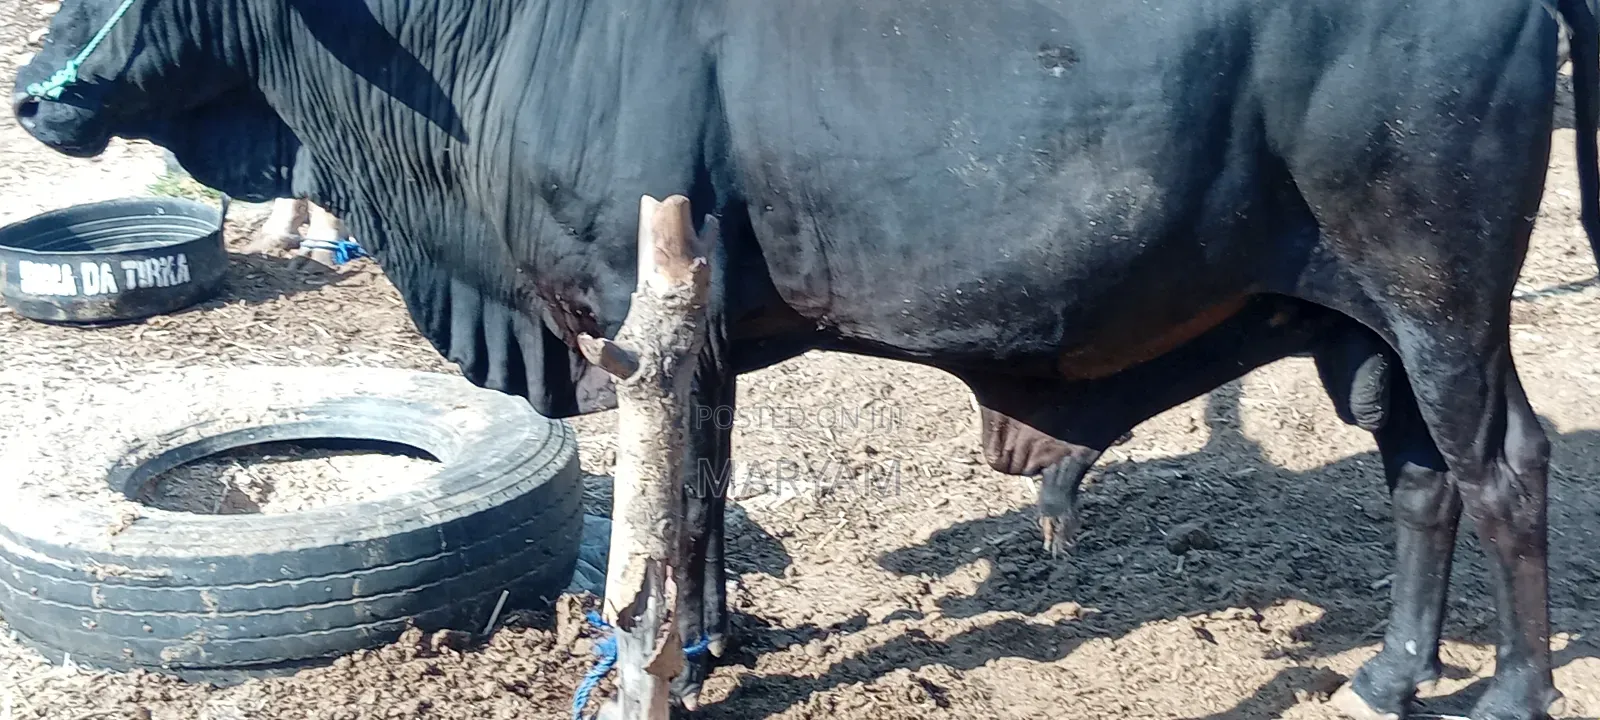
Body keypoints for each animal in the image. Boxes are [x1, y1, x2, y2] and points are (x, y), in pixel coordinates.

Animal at [12, 1, 1600, 718]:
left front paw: (678, 653)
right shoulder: (699, 333)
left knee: (1504, 469)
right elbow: (702, 494)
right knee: (1417, 481)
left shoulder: (643, 316)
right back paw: (1390, 672)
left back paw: (1509, 690)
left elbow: (673, 508)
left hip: (1439, 294)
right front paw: (713, 632)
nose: (35, 92)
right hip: (1363, 326)